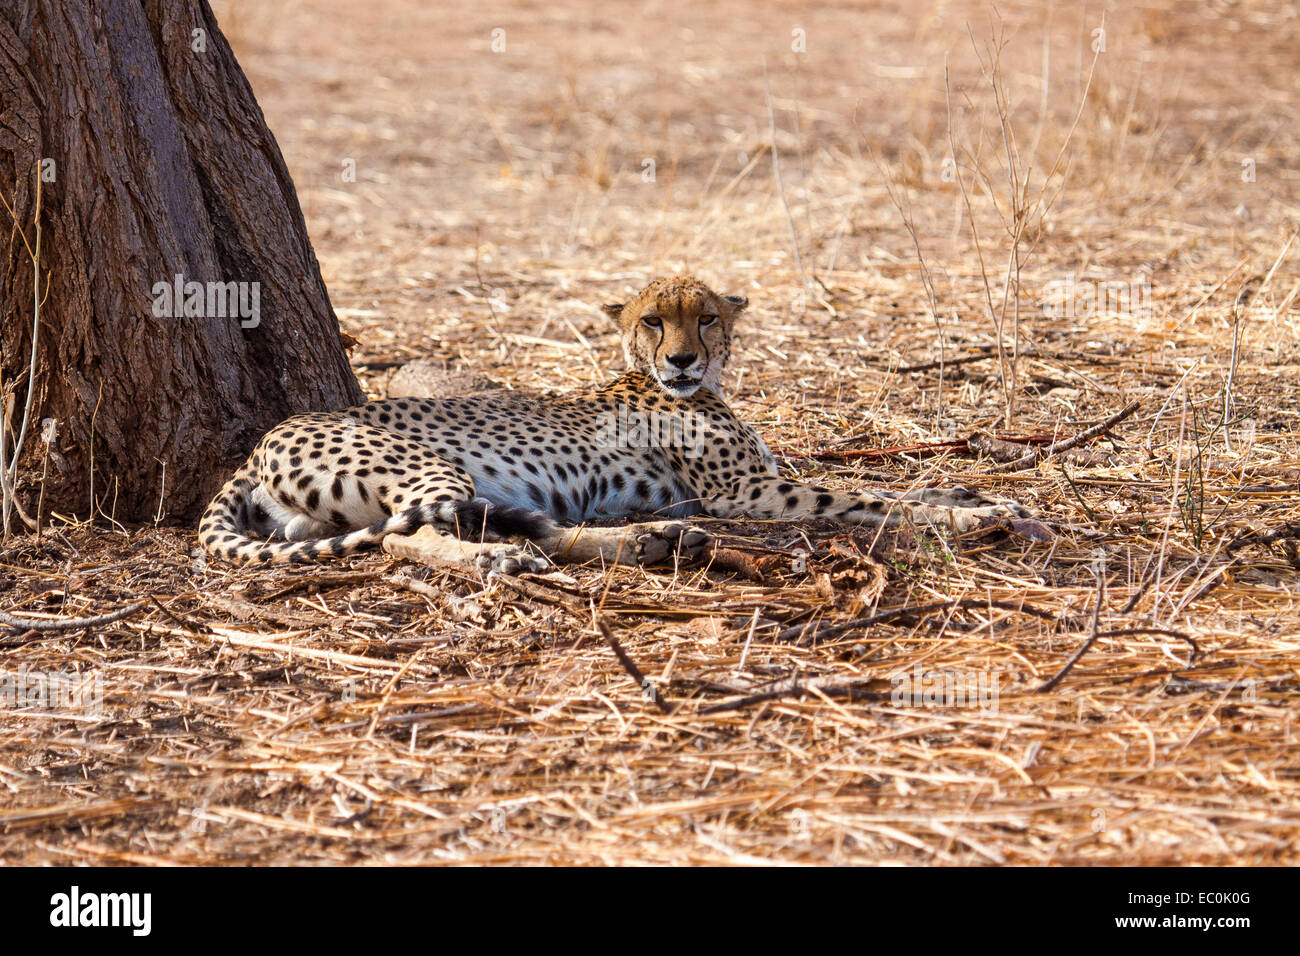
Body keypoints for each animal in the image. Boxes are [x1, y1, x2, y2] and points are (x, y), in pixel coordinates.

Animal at [199, 276, 1028, 573]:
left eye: (707, 317)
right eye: (653, 321)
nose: (684, 360)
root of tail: (260, 444)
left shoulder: (759, 480)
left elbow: (898, 489)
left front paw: (975, 499)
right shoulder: (746, 493)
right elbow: (866, 498)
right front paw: (978, 516)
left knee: (509, 523)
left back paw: (648, 541)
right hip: (430, 468)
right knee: (415, 531)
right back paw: (500, 561)